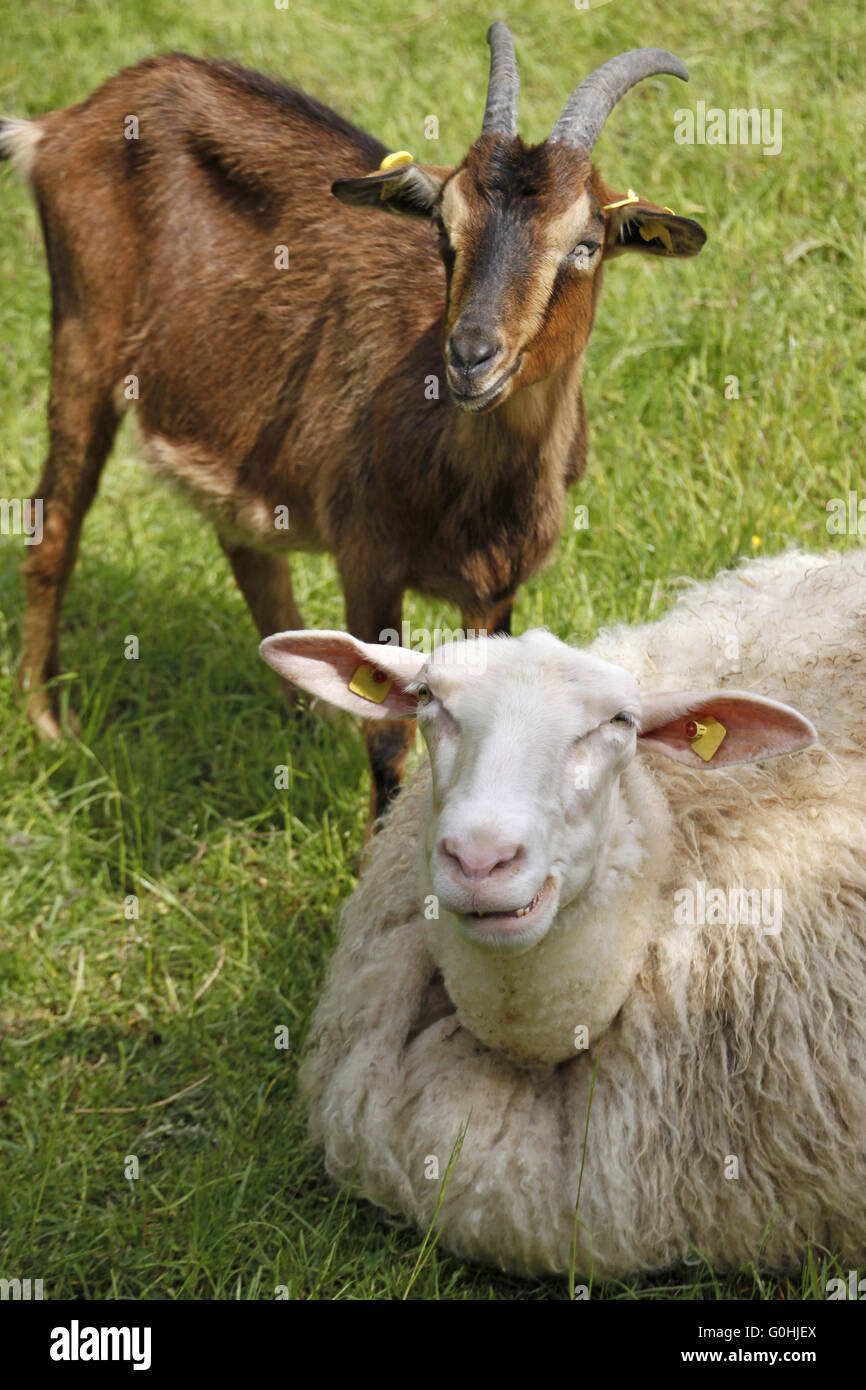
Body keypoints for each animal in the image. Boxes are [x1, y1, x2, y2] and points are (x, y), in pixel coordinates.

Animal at [1, 24, 705, 827]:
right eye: (443, 229)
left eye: (585, 243)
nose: (471, 357)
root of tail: (61, 124)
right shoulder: (368, 557)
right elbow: (389, 737)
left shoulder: (498, 589)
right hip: (81, 335)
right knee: (54, 524)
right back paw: (48, 720)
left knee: (243, 546)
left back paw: (307, 718)